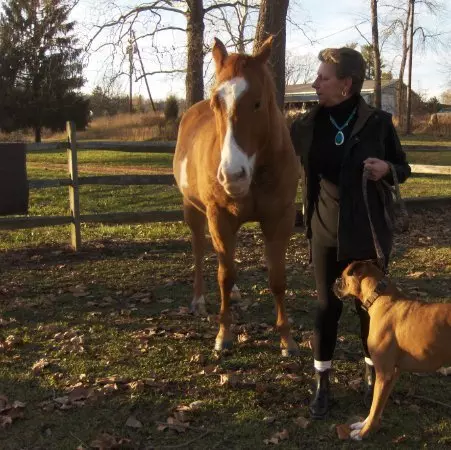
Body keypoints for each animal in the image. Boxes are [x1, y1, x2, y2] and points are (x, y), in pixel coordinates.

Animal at [173, 37, 300, 356]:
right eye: (216, 102)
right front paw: (223, 336)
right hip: (193, 211)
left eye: (258, 102)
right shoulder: (219, 217)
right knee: (199, 249)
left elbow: (277, 278)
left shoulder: (280, 219)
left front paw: (287, 339)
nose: (232, 176)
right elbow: (225, 276)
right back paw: (198, 301)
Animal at [336, 260, 451, 440]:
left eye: (342, 276)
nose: (334, 282)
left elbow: (375, 407)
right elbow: (376, 407)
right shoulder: (393, 373)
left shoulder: (384, 374)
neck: (378, 296)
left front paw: (363, 433)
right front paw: (363, 425)